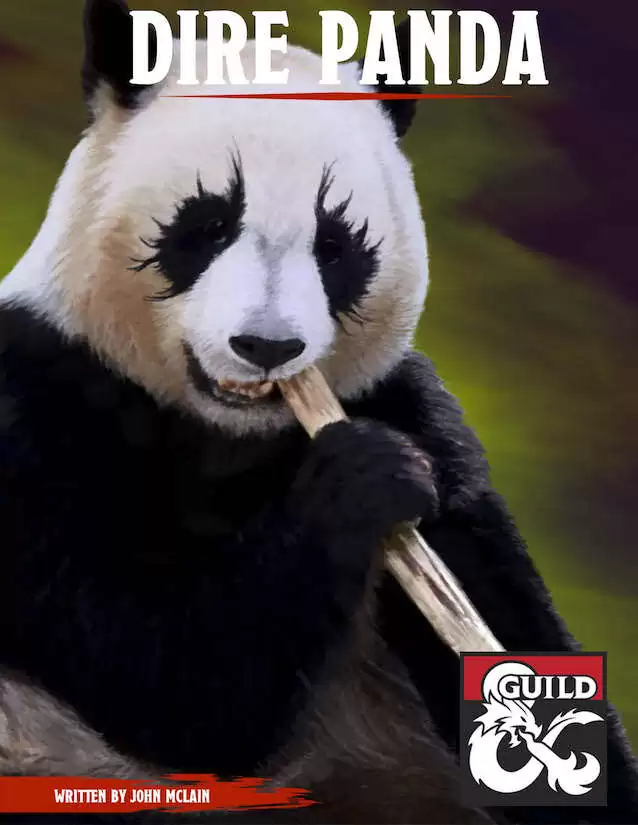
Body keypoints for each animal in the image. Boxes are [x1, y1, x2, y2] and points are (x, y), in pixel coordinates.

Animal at [0, 1, 636, 823]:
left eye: (335, 246)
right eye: (207, 227)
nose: (267, 346)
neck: (225, 434)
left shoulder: (428, 450)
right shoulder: (35, 408)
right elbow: (166, 686)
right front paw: (363, 479)